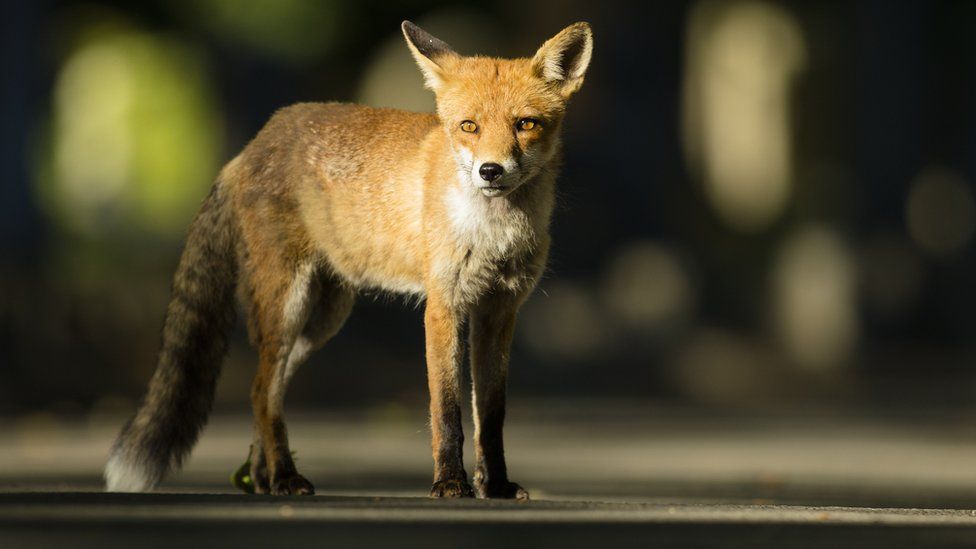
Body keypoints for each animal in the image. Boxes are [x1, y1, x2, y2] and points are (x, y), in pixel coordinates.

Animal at [104, 20, 592, 499]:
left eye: (526, 124)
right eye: (468, 126)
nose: (490, 171)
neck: (495, 233)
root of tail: (251, 147)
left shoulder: (499, 310)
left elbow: (491, 413)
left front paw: (496, 485)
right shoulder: (444, 306)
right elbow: (448, 409)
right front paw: (450, 483)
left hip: (321, 320)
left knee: (269, 392)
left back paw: (263, 477)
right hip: (287, 307)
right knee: (262, 391)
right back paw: (285, 477)